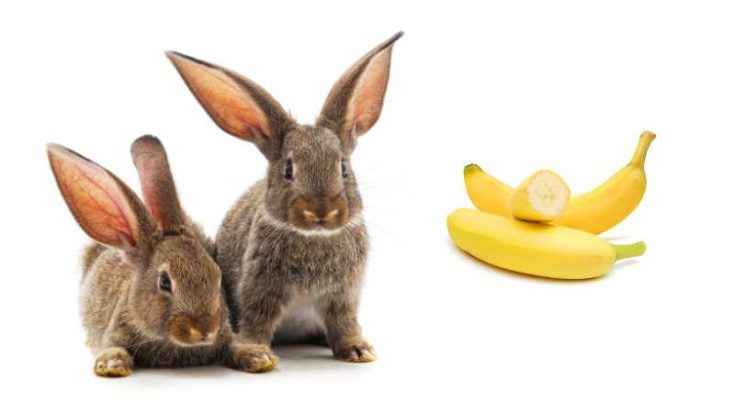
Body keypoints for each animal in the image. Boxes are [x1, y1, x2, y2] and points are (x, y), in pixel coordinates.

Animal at [47, 135, 246, 377]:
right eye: (164, 282)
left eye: (217, 276)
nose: (205, 329)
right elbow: (113, 347)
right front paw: (112, 365)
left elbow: (234, 346)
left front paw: (258, 357)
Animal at [166, 32, 402, 372]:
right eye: (288, 169)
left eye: (343, 167)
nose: (321, 211)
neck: (315, 238)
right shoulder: (259, 291)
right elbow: (258, 322)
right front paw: (256, 354)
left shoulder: (342, 297)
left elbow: (344, 323)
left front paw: (357, 350)